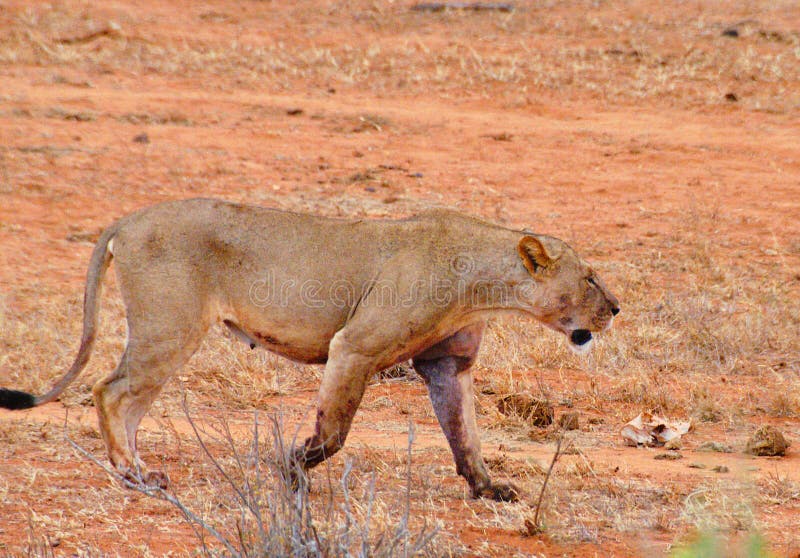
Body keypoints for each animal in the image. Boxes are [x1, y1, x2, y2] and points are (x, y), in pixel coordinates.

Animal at [0, 198, 619, 501]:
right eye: (590, 278)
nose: (616, 308)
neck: (485, 285)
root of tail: (127, 220)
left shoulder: (447, 364)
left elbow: (466, 435)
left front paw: (488, 489)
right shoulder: (356, 347)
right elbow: (334, 431)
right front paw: (291, 471)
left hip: (169, 332)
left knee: (128, 402)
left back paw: (142, 472)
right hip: (171, 326)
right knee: (110, 392)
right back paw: (131, 474)